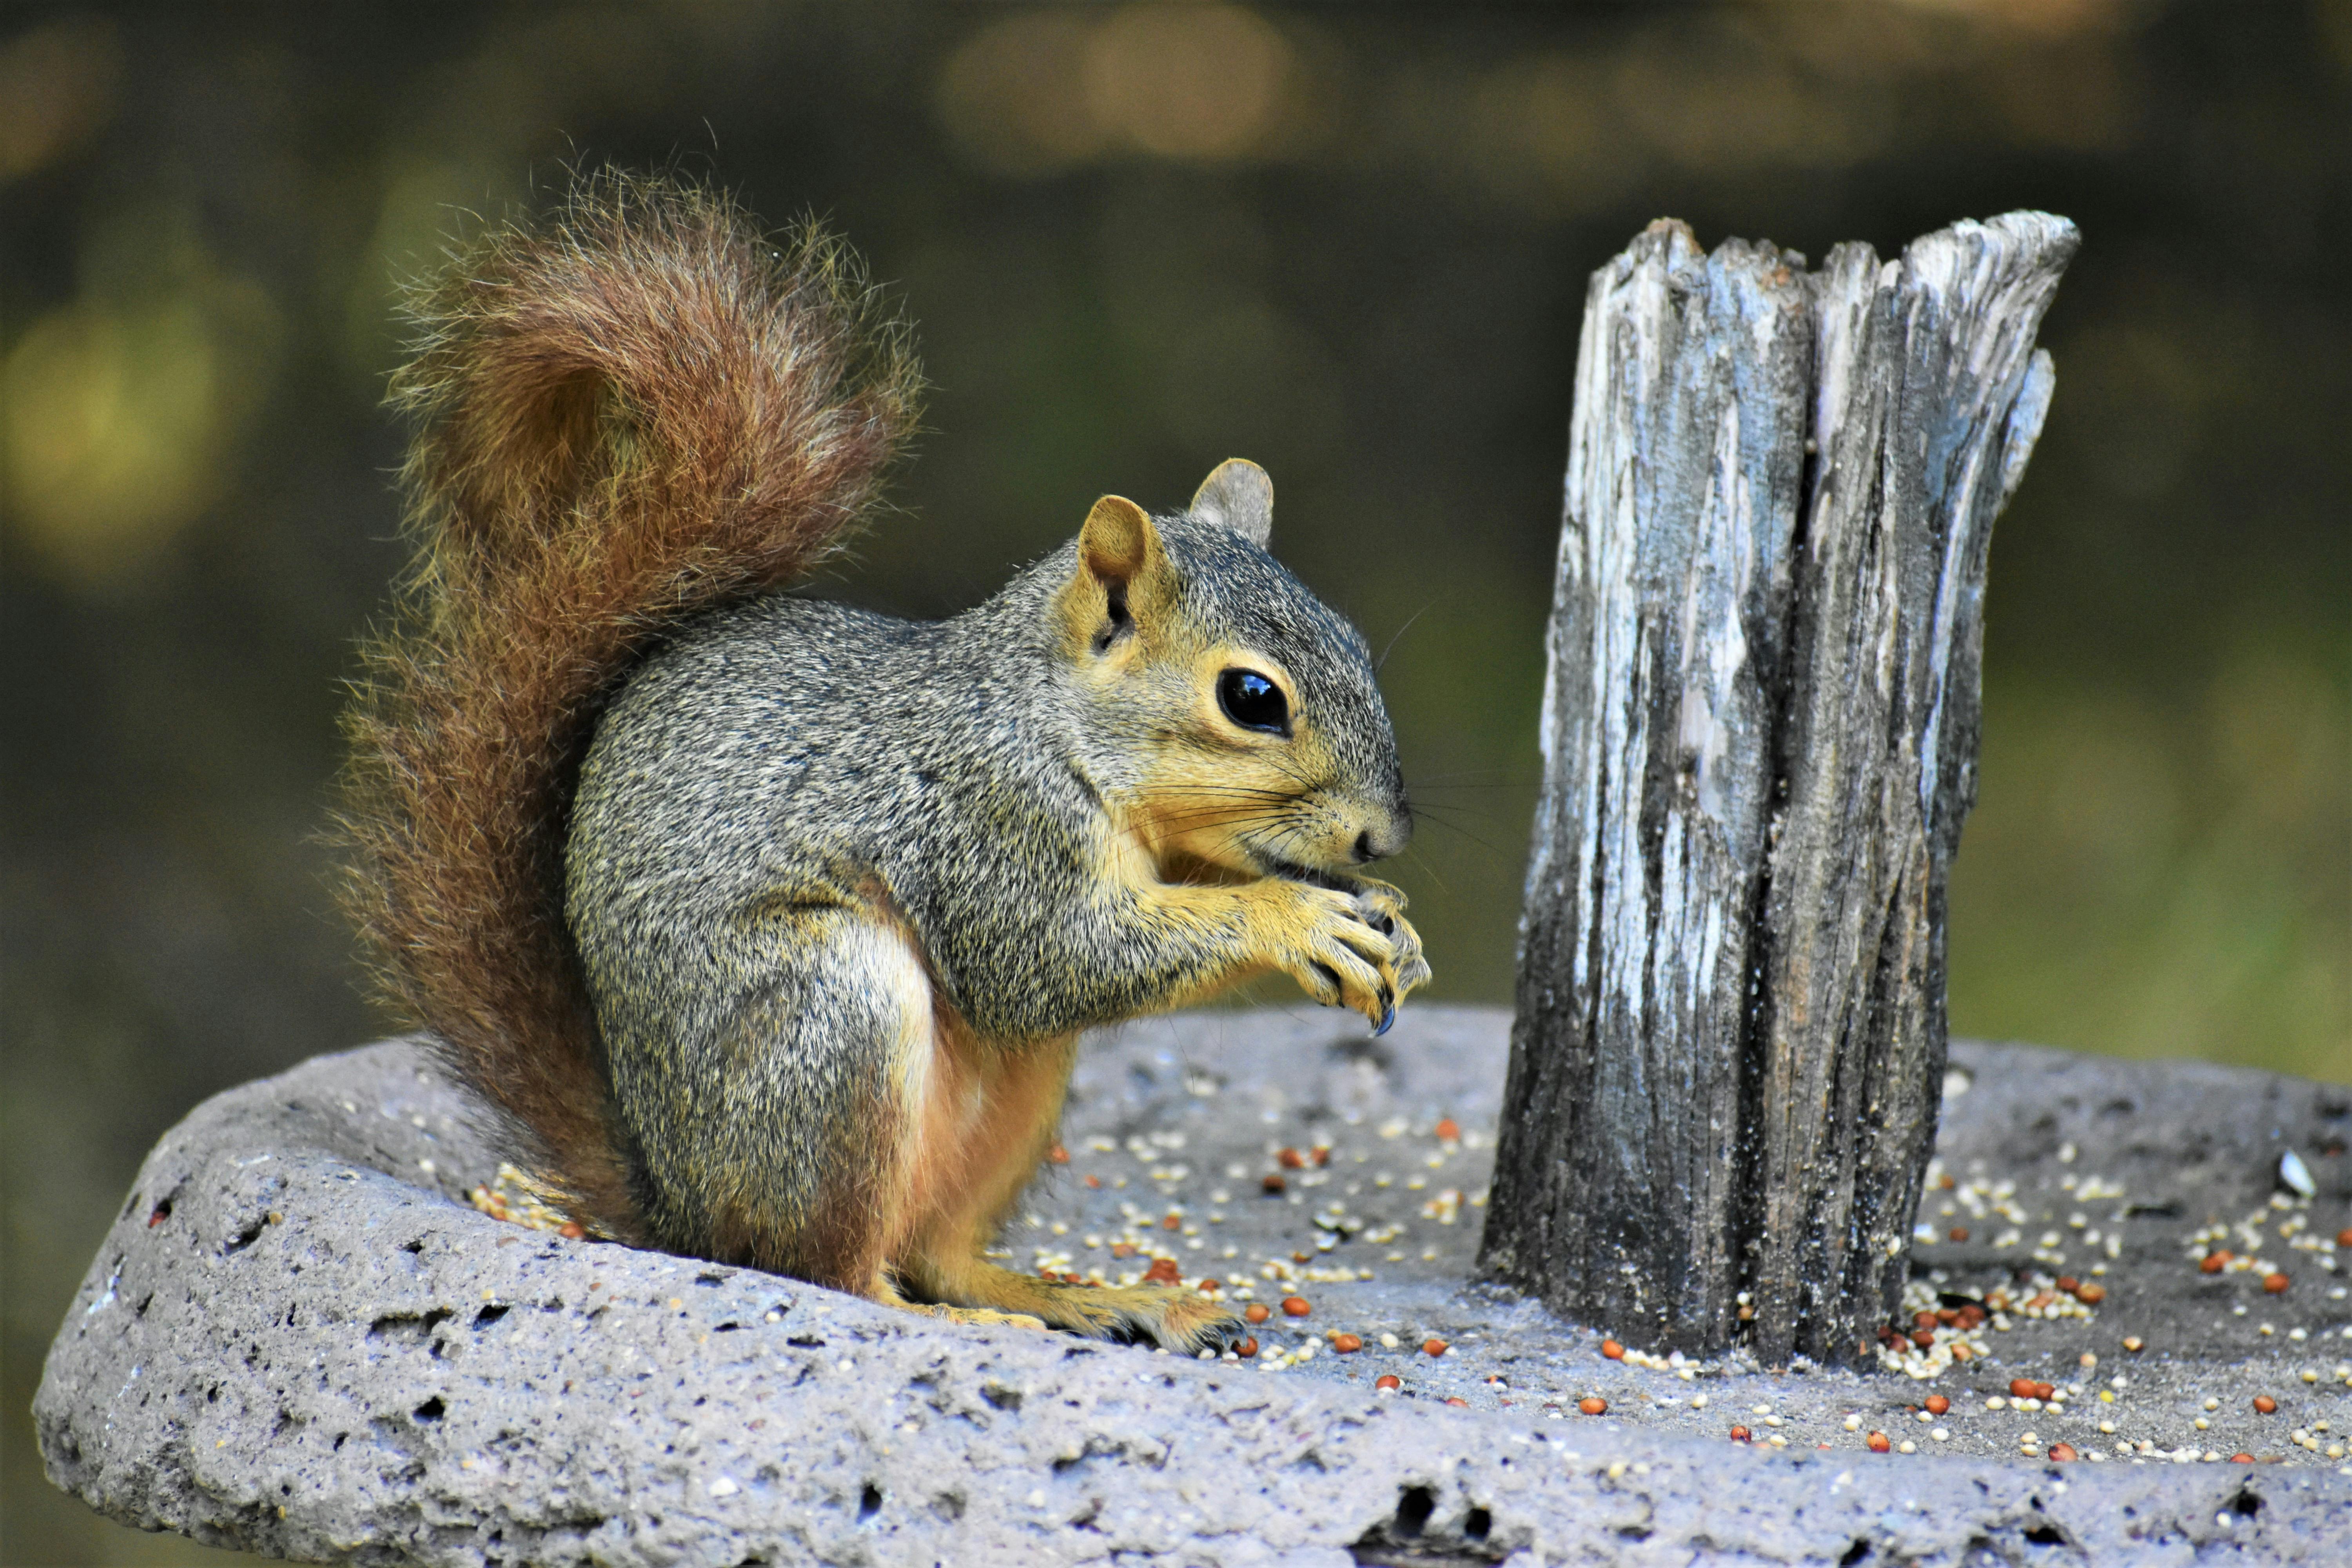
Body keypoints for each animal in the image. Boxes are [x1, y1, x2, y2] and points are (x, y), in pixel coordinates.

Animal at [339, 174, 1428, 1351]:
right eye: (1251, 699)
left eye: (1356, 645)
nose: (1383, 836)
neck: (1046, 719)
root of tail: (675, 1203)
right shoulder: (987, 823)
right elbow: (1058, 959)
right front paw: (1300, 918)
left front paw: (1393, 926)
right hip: (830, 1014)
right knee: (829, 1270)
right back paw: (959, 1319)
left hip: (1015, 1093)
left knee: (936, 1248)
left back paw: (1085, 1298)